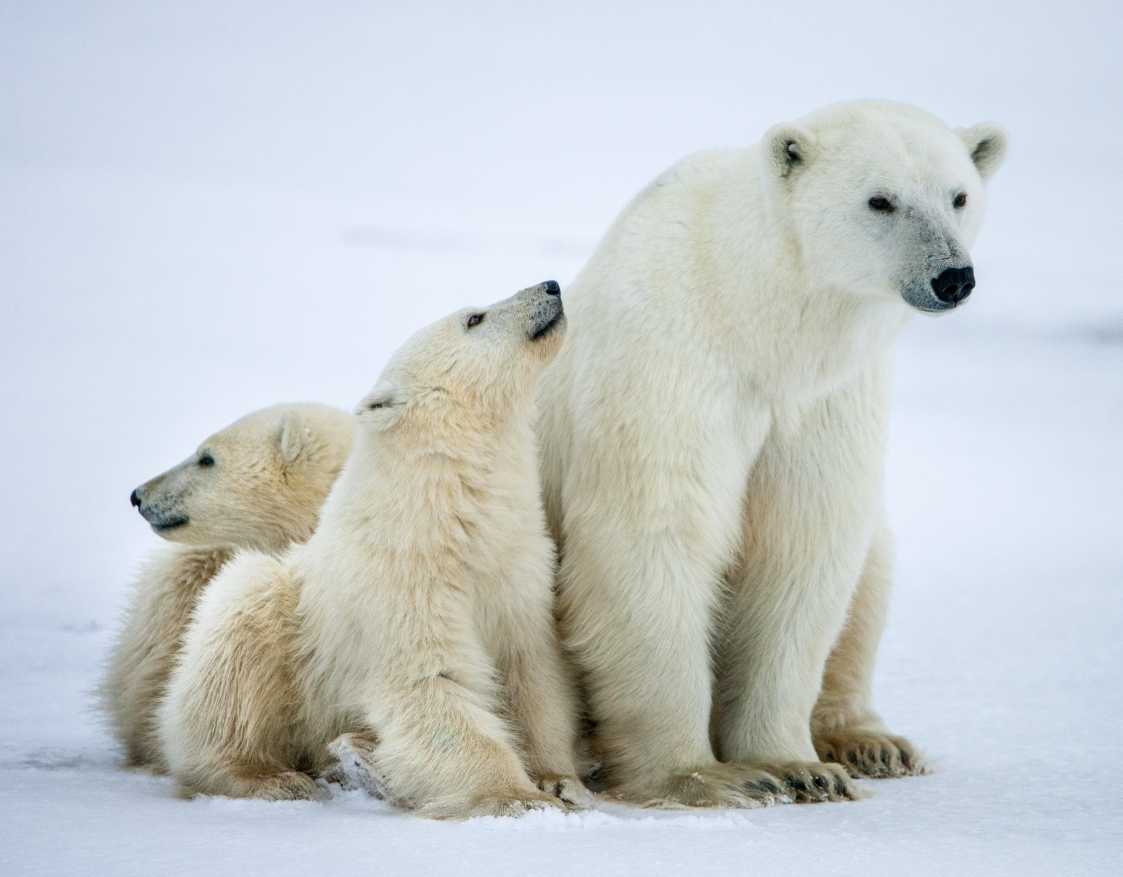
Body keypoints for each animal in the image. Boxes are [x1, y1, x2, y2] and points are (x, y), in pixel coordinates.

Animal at [157, 281, 587, 818]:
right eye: (474, 318)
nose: (550, 285)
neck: (448, 513)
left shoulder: (518, 568)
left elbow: (531, 673)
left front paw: (560, 781)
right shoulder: (403, 582)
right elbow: (429, 683)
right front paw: (518, 798)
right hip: (276, 621)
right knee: (230, 671)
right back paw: (273, 779)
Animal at [537, 101, 1007, 807]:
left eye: (959, 196)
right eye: (880, 199)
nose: (953, 277)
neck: (756, 319)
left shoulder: (825, 400)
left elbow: (801, 549)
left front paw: (798, 767)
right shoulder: (670, 367)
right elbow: (654, 539)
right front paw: (704, 776)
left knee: (872, 570)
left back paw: (870, 742)